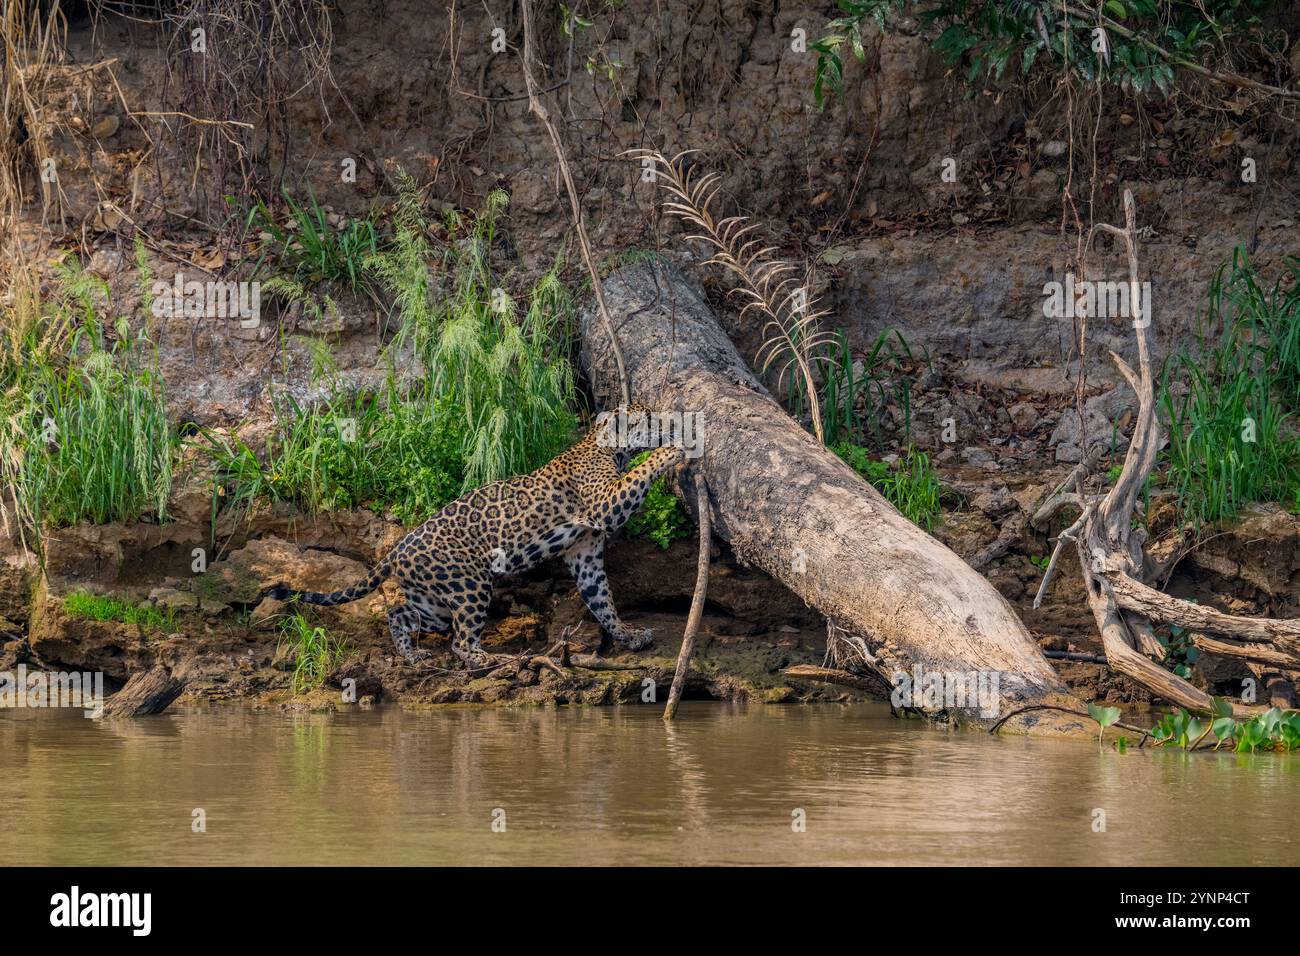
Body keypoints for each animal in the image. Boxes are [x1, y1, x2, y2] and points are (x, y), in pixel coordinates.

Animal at [264, 404, 687, 668]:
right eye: (648, 416)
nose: (669, 424)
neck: (606, 447)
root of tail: (396, 551)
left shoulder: (585, 553)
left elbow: (602, 601)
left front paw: (628, 636)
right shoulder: (604, 501)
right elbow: (638, 472)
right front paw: (672, 451)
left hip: (433, 601)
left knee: (399, 613)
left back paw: (412, 655)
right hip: (470, 584)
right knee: (460, 640)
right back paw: (486, 658)